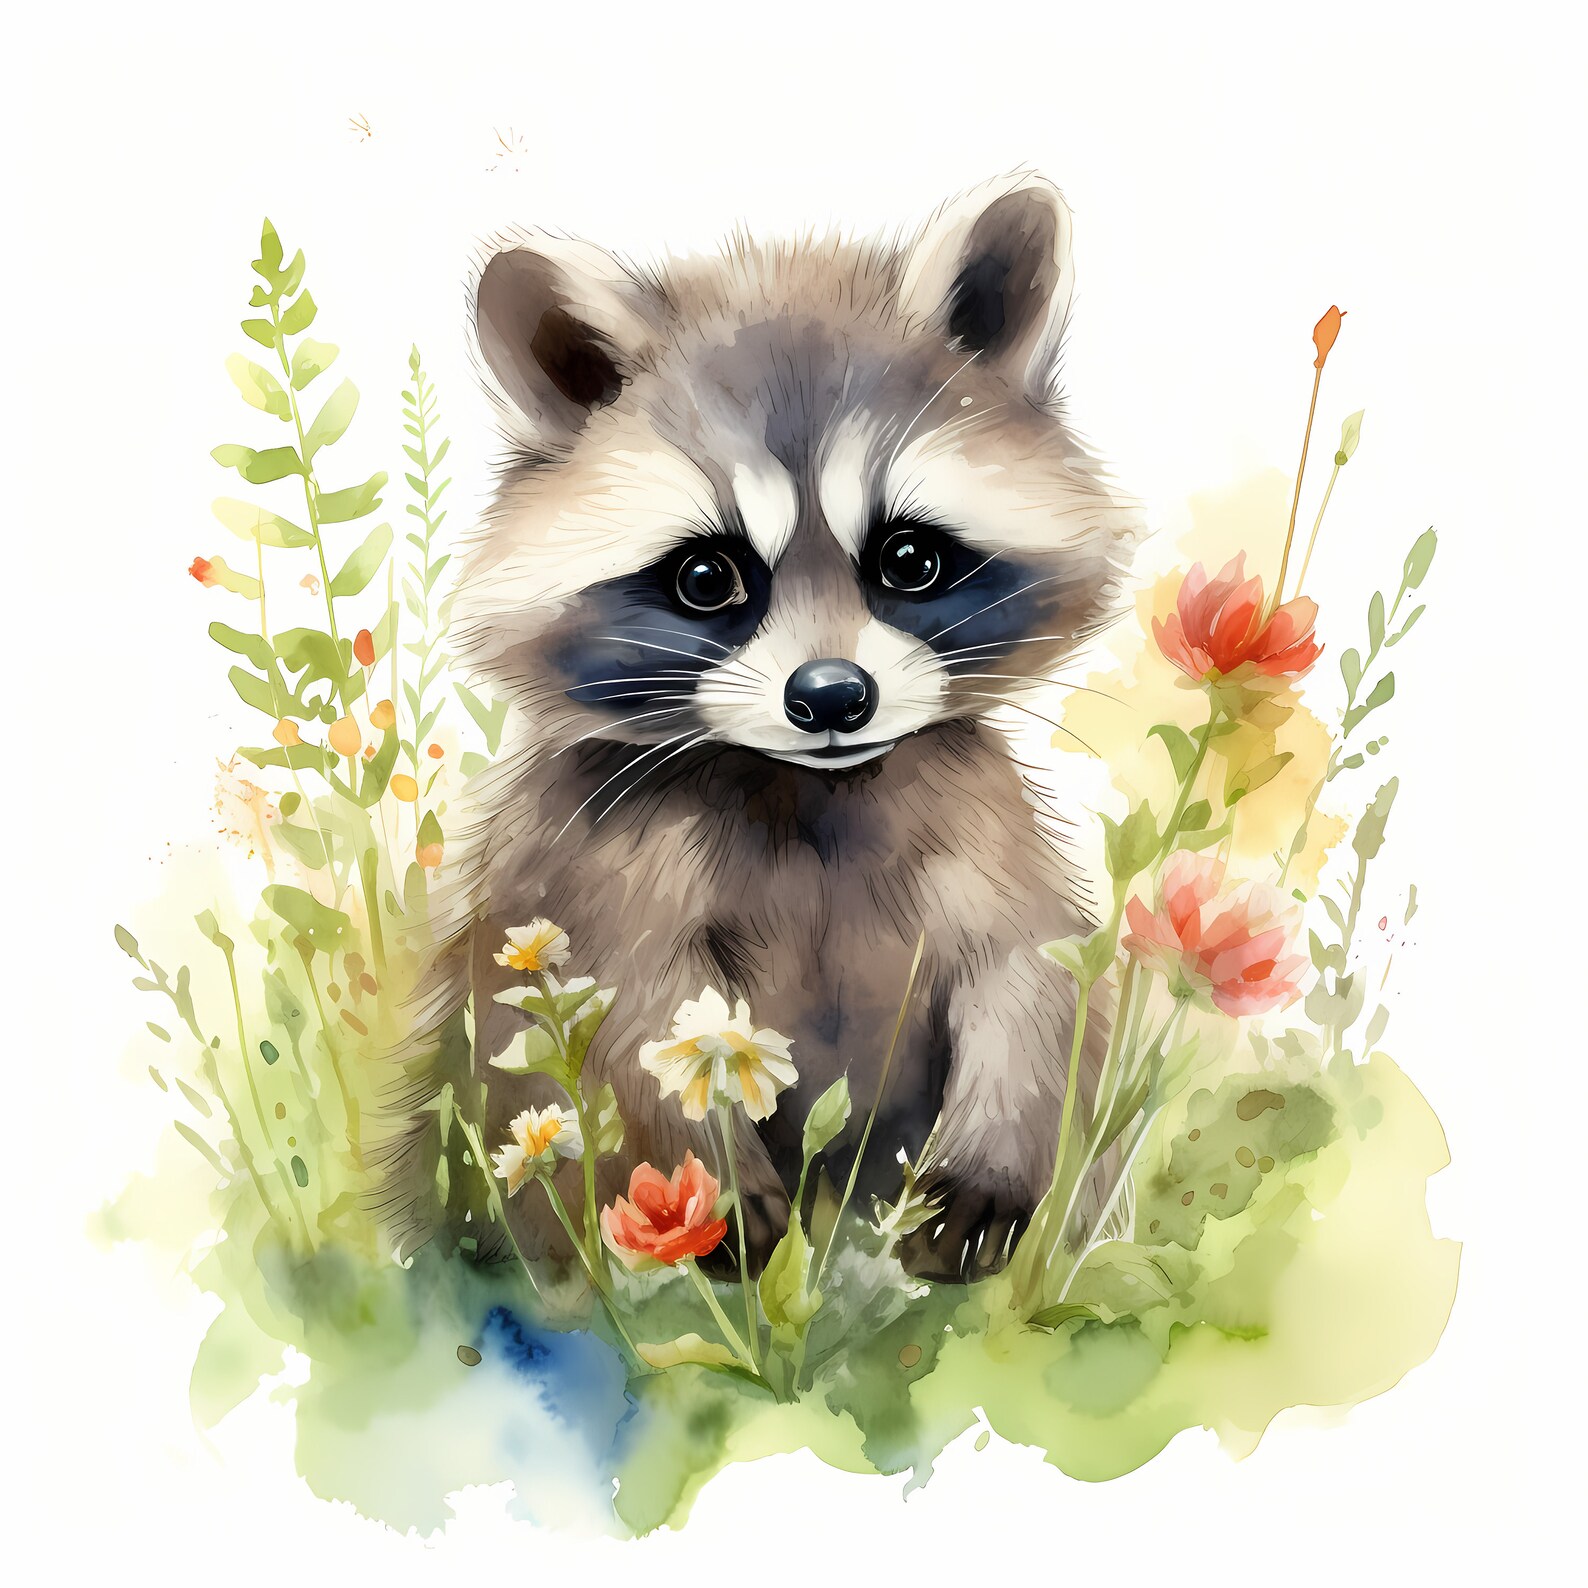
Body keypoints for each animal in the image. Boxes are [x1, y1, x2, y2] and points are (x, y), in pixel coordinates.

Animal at [388, 172, 1140, 1283]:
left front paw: (993, 1160)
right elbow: (615, 1028)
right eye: (708, 578)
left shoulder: (980, 823)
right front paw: (707, 1187)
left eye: (908, 559)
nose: (830, 696)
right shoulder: (585, 870)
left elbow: (1033, 980)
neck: (807, 783)